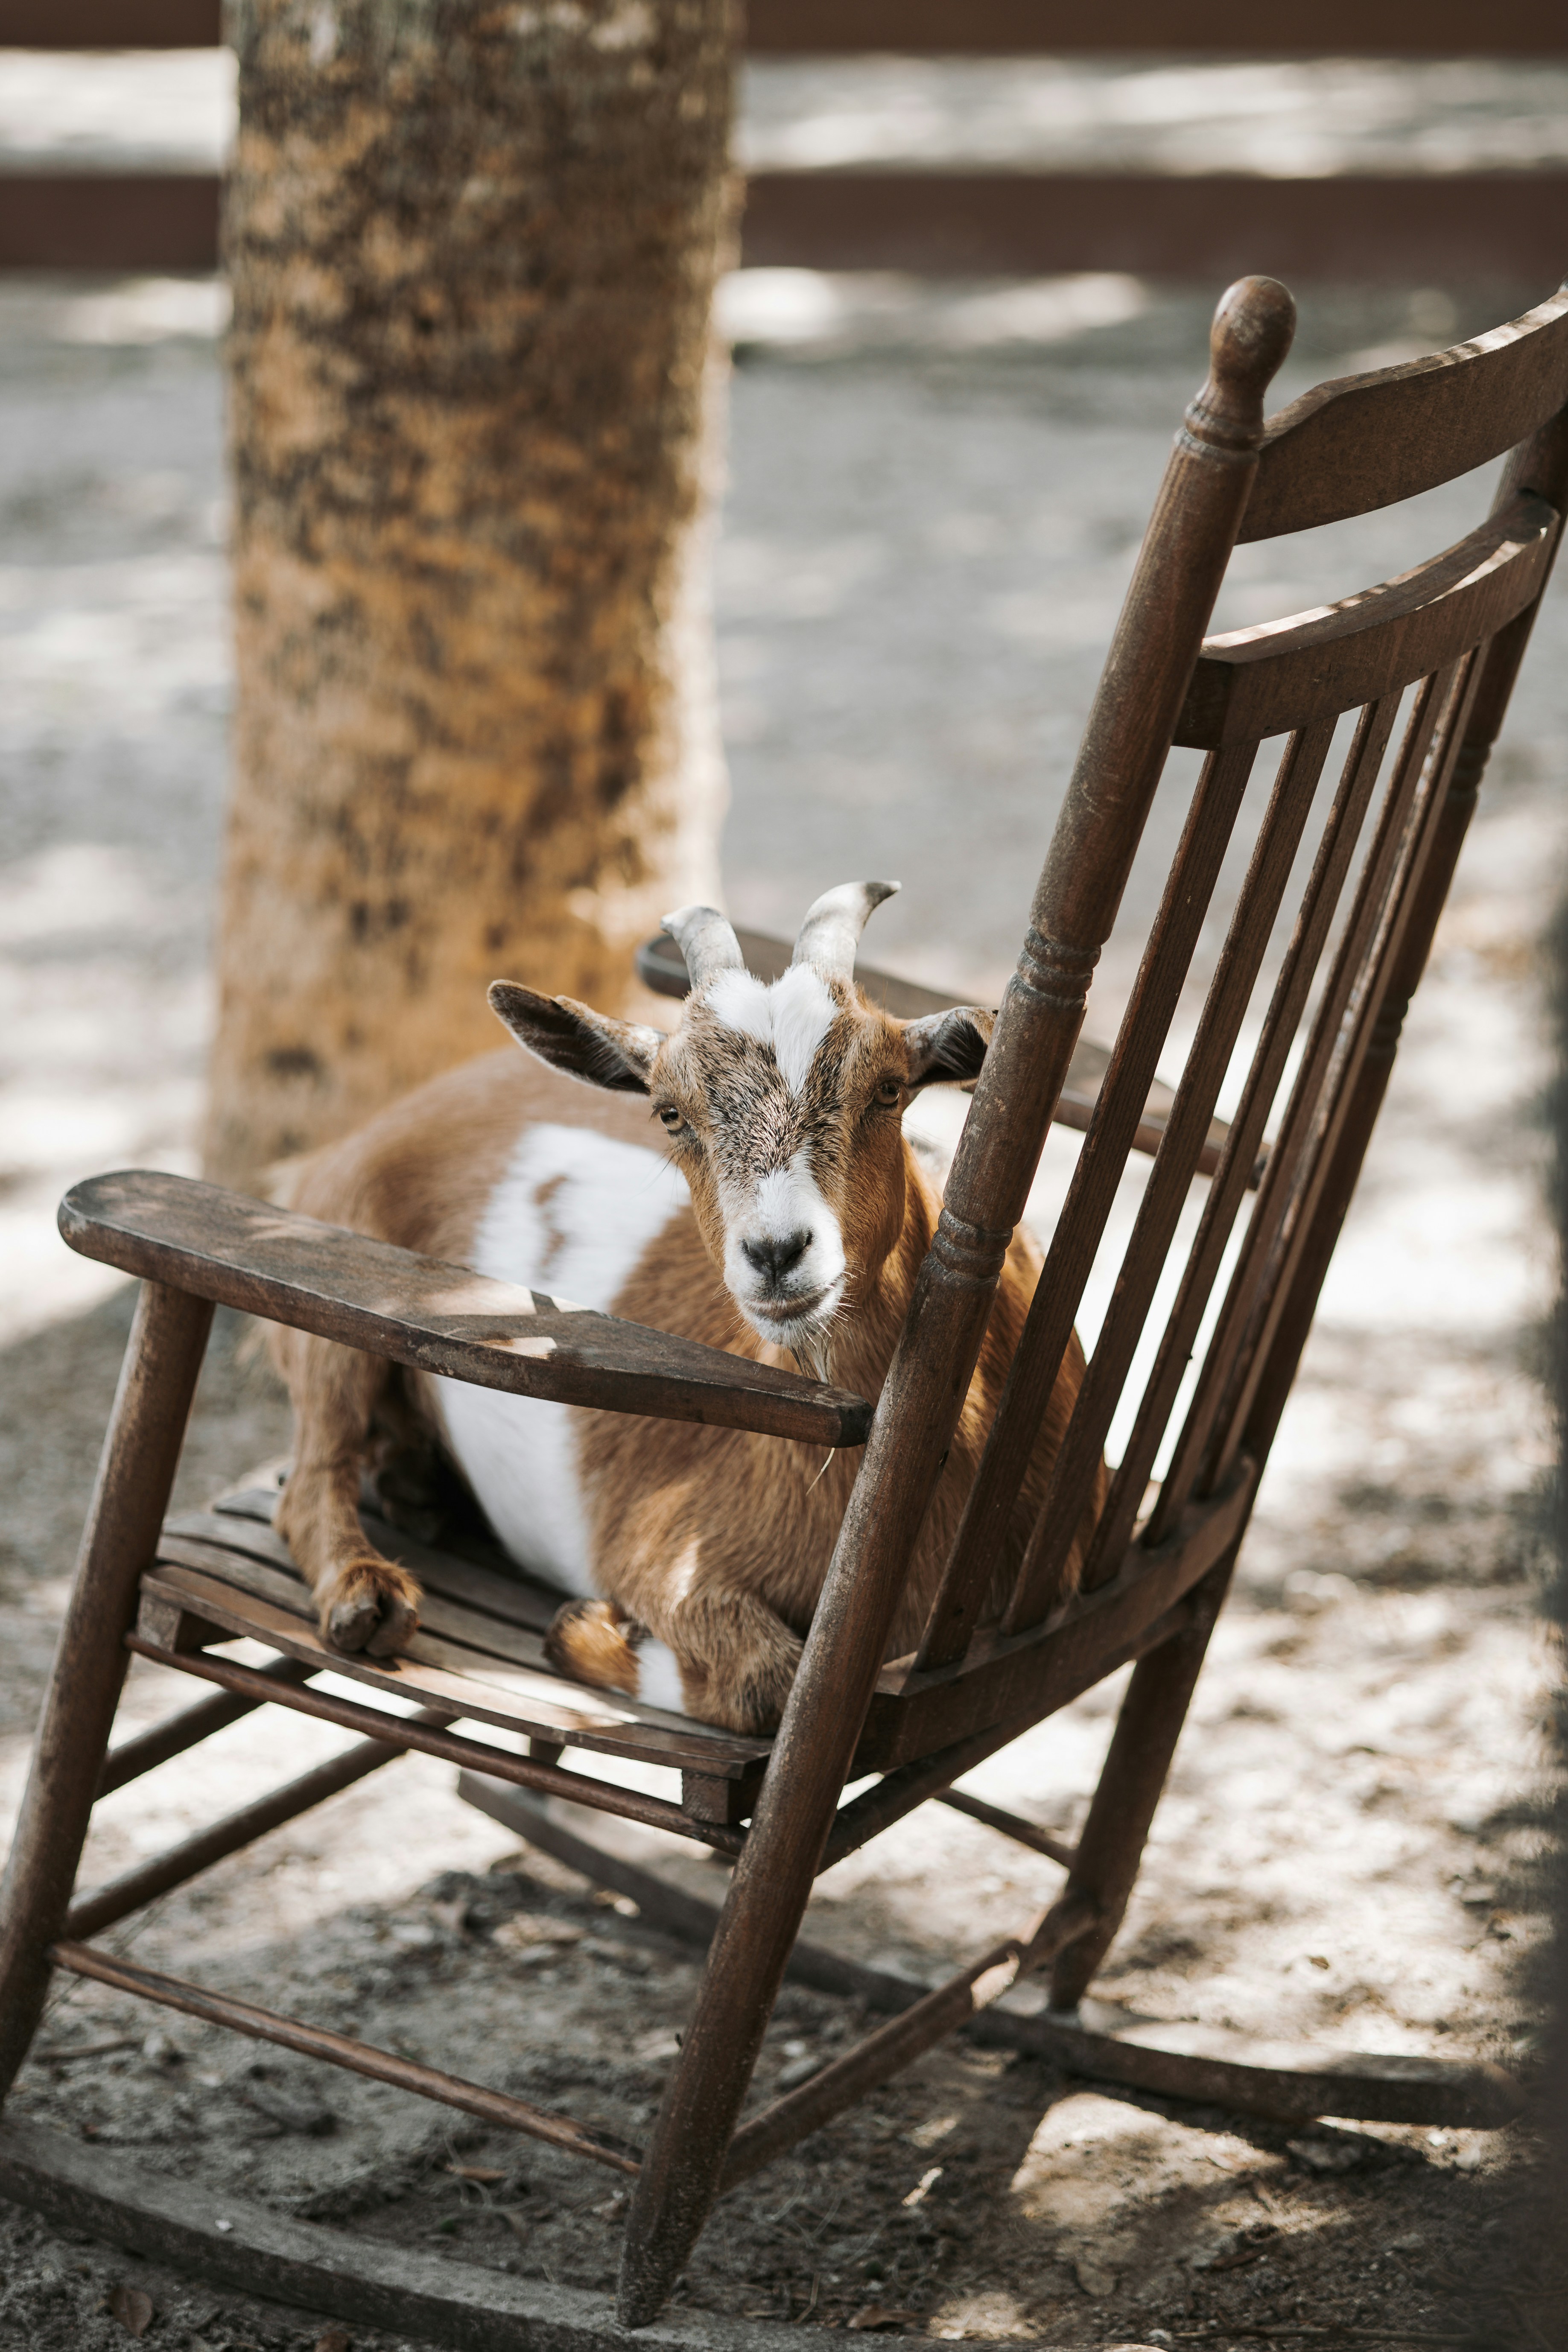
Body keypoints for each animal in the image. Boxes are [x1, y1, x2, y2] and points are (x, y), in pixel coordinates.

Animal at [271, 883, 1104, 1734]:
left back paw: (416, 1489)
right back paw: (367, 1595)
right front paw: (585, 1630)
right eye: (671, 1113)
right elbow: (767, 1679)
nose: (776, 1252)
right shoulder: (655, 1545)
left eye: (888, 1089)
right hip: (343, 1293)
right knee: (312, 1472)